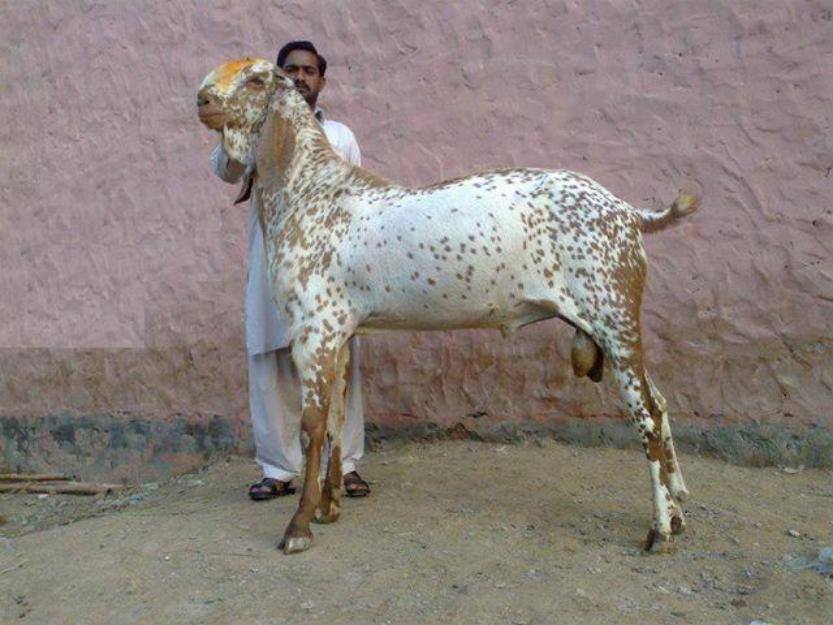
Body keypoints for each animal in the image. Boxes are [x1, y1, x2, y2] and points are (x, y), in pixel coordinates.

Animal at [197, 57, 698, 555]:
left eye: (257, 78)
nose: (202, 99)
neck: (310, 191)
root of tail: (629, 213)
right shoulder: (339, 334)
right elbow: (337, 420)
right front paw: (328, 507)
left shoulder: (314, 330)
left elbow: (312, 426)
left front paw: (298, 527)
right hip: (614, 328)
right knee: (661, 404)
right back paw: (678, 512)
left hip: (612, 318)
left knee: (646, 415)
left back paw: (659, 529)